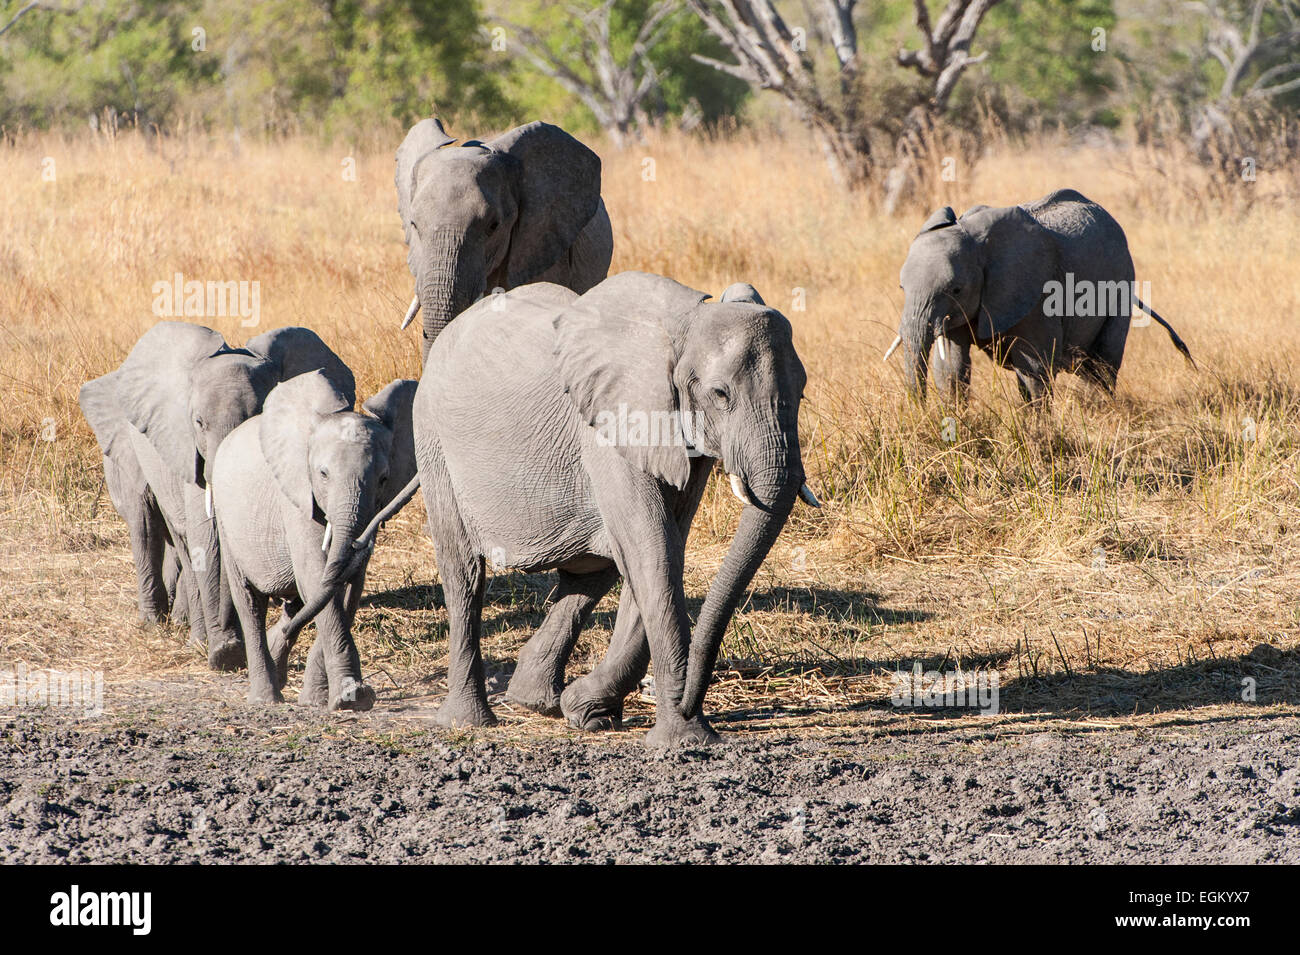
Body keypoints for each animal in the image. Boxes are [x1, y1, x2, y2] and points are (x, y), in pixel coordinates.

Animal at [110, 321, 355, 669]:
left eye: (258, 418)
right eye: (198, 422)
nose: (228, 647)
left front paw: (230, 652)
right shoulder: (189, 451)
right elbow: (207, 535)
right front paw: (225, 653)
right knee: (178, 537)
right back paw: (192, 638)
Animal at [211, 373, 418, 709]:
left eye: (384, 479)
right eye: (323, 474)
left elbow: (346, 587)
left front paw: (321, 699)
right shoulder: (296, 498)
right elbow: (317, 577)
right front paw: (351, 699)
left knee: (297, 603)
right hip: (227, 519)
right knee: (250, 602)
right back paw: (265, 698)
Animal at [358, 272, 819, 747]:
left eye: (802, 391)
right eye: (720, 394)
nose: (689, 701)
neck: (680, 328)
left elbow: (662, 547)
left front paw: (588, 712)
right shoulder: (609, 425)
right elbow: (652, 549)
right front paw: (685, 740)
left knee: (592, 571)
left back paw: (535, 701)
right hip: (433, 439)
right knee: (464, 575)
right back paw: (468, 721)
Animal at [884, 188, 1194, 402]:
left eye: (956, 289)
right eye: (902, 289)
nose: (918, 411)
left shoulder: (1036, 293)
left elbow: (1034, 370)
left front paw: (1036, 432)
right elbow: (951, 368)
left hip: (1121, 286)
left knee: (1103, 363)